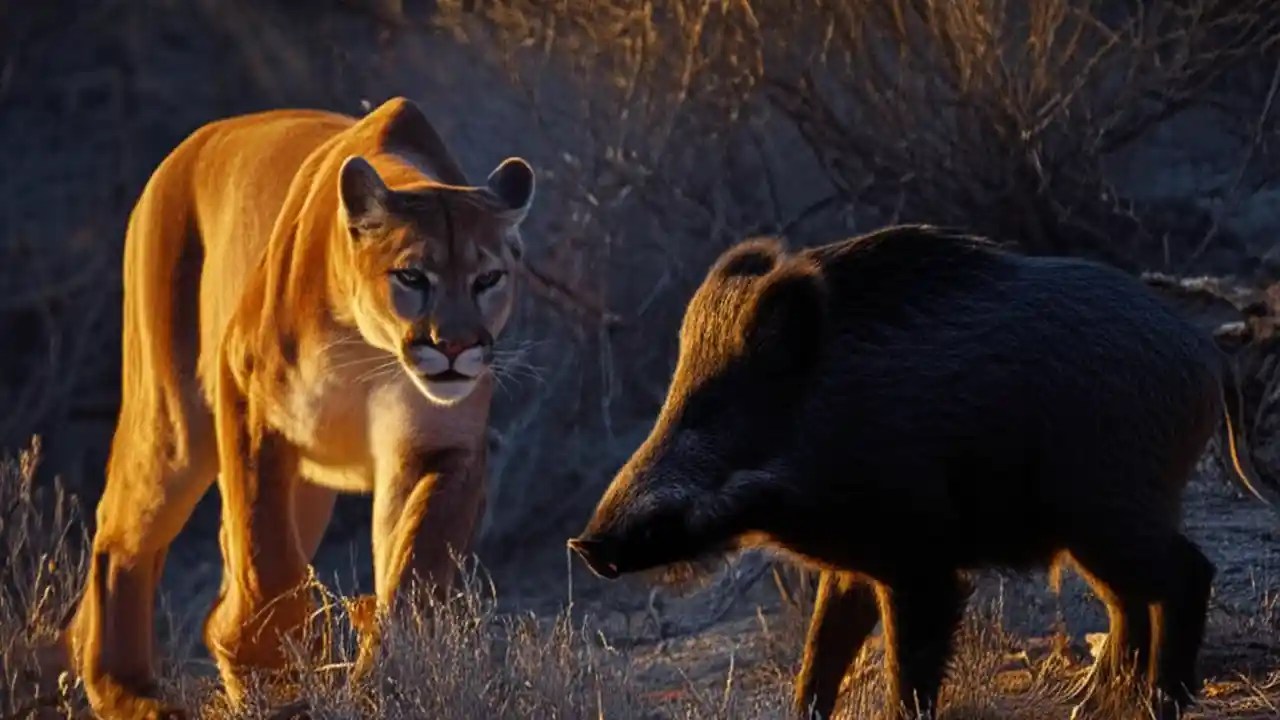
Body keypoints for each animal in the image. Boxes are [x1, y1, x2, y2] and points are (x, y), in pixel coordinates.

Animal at [55, 96, 535, 719]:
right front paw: (268, 664)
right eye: (411, 275)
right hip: (174, 428)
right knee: (119, 541)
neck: (370, 351)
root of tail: (189, 147)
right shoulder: (251, 405)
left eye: (488, 278)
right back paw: (130, 693)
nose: (454, 347)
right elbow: (265, 550)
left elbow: (417, 568)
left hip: (307, 484)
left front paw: (382, 681)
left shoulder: (442, 446)